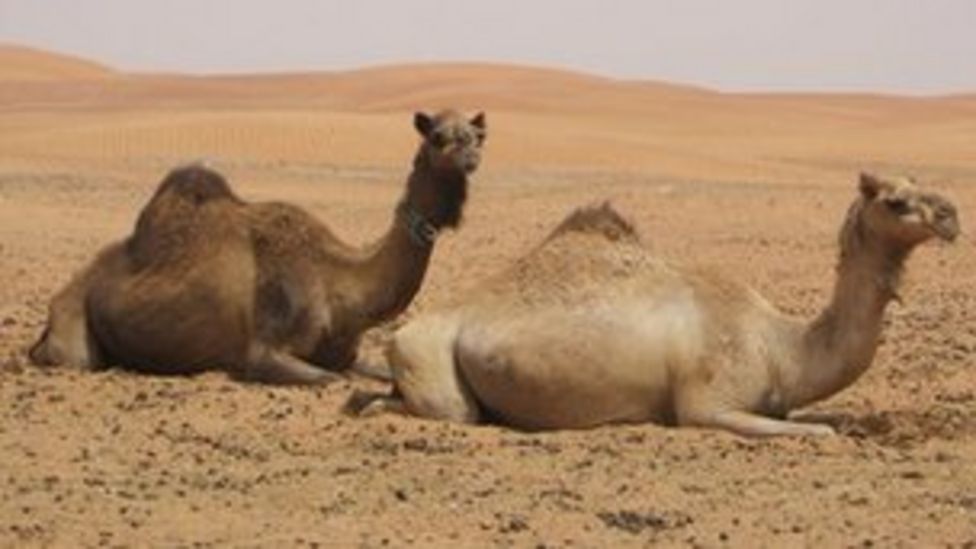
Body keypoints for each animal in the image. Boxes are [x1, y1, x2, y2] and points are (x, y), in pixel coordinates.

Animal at [28, 109, 487, 384]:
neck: (341, 284)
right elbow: (328, 379)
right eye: (439, 136)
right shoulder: (263, 352)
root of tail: (58, 299)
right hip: (72, 331)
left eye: (477, 135)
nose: (471, 157)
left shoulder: (347, 354)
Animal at [354, 173, 959, 436]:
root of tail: (401, 333)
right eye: (897, 201)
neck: (781, 345)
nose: (951, 213)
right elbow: (819, 432)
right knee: (448, 411)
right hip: (431, 360)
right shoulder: (708, 406)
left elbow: (818, 421)